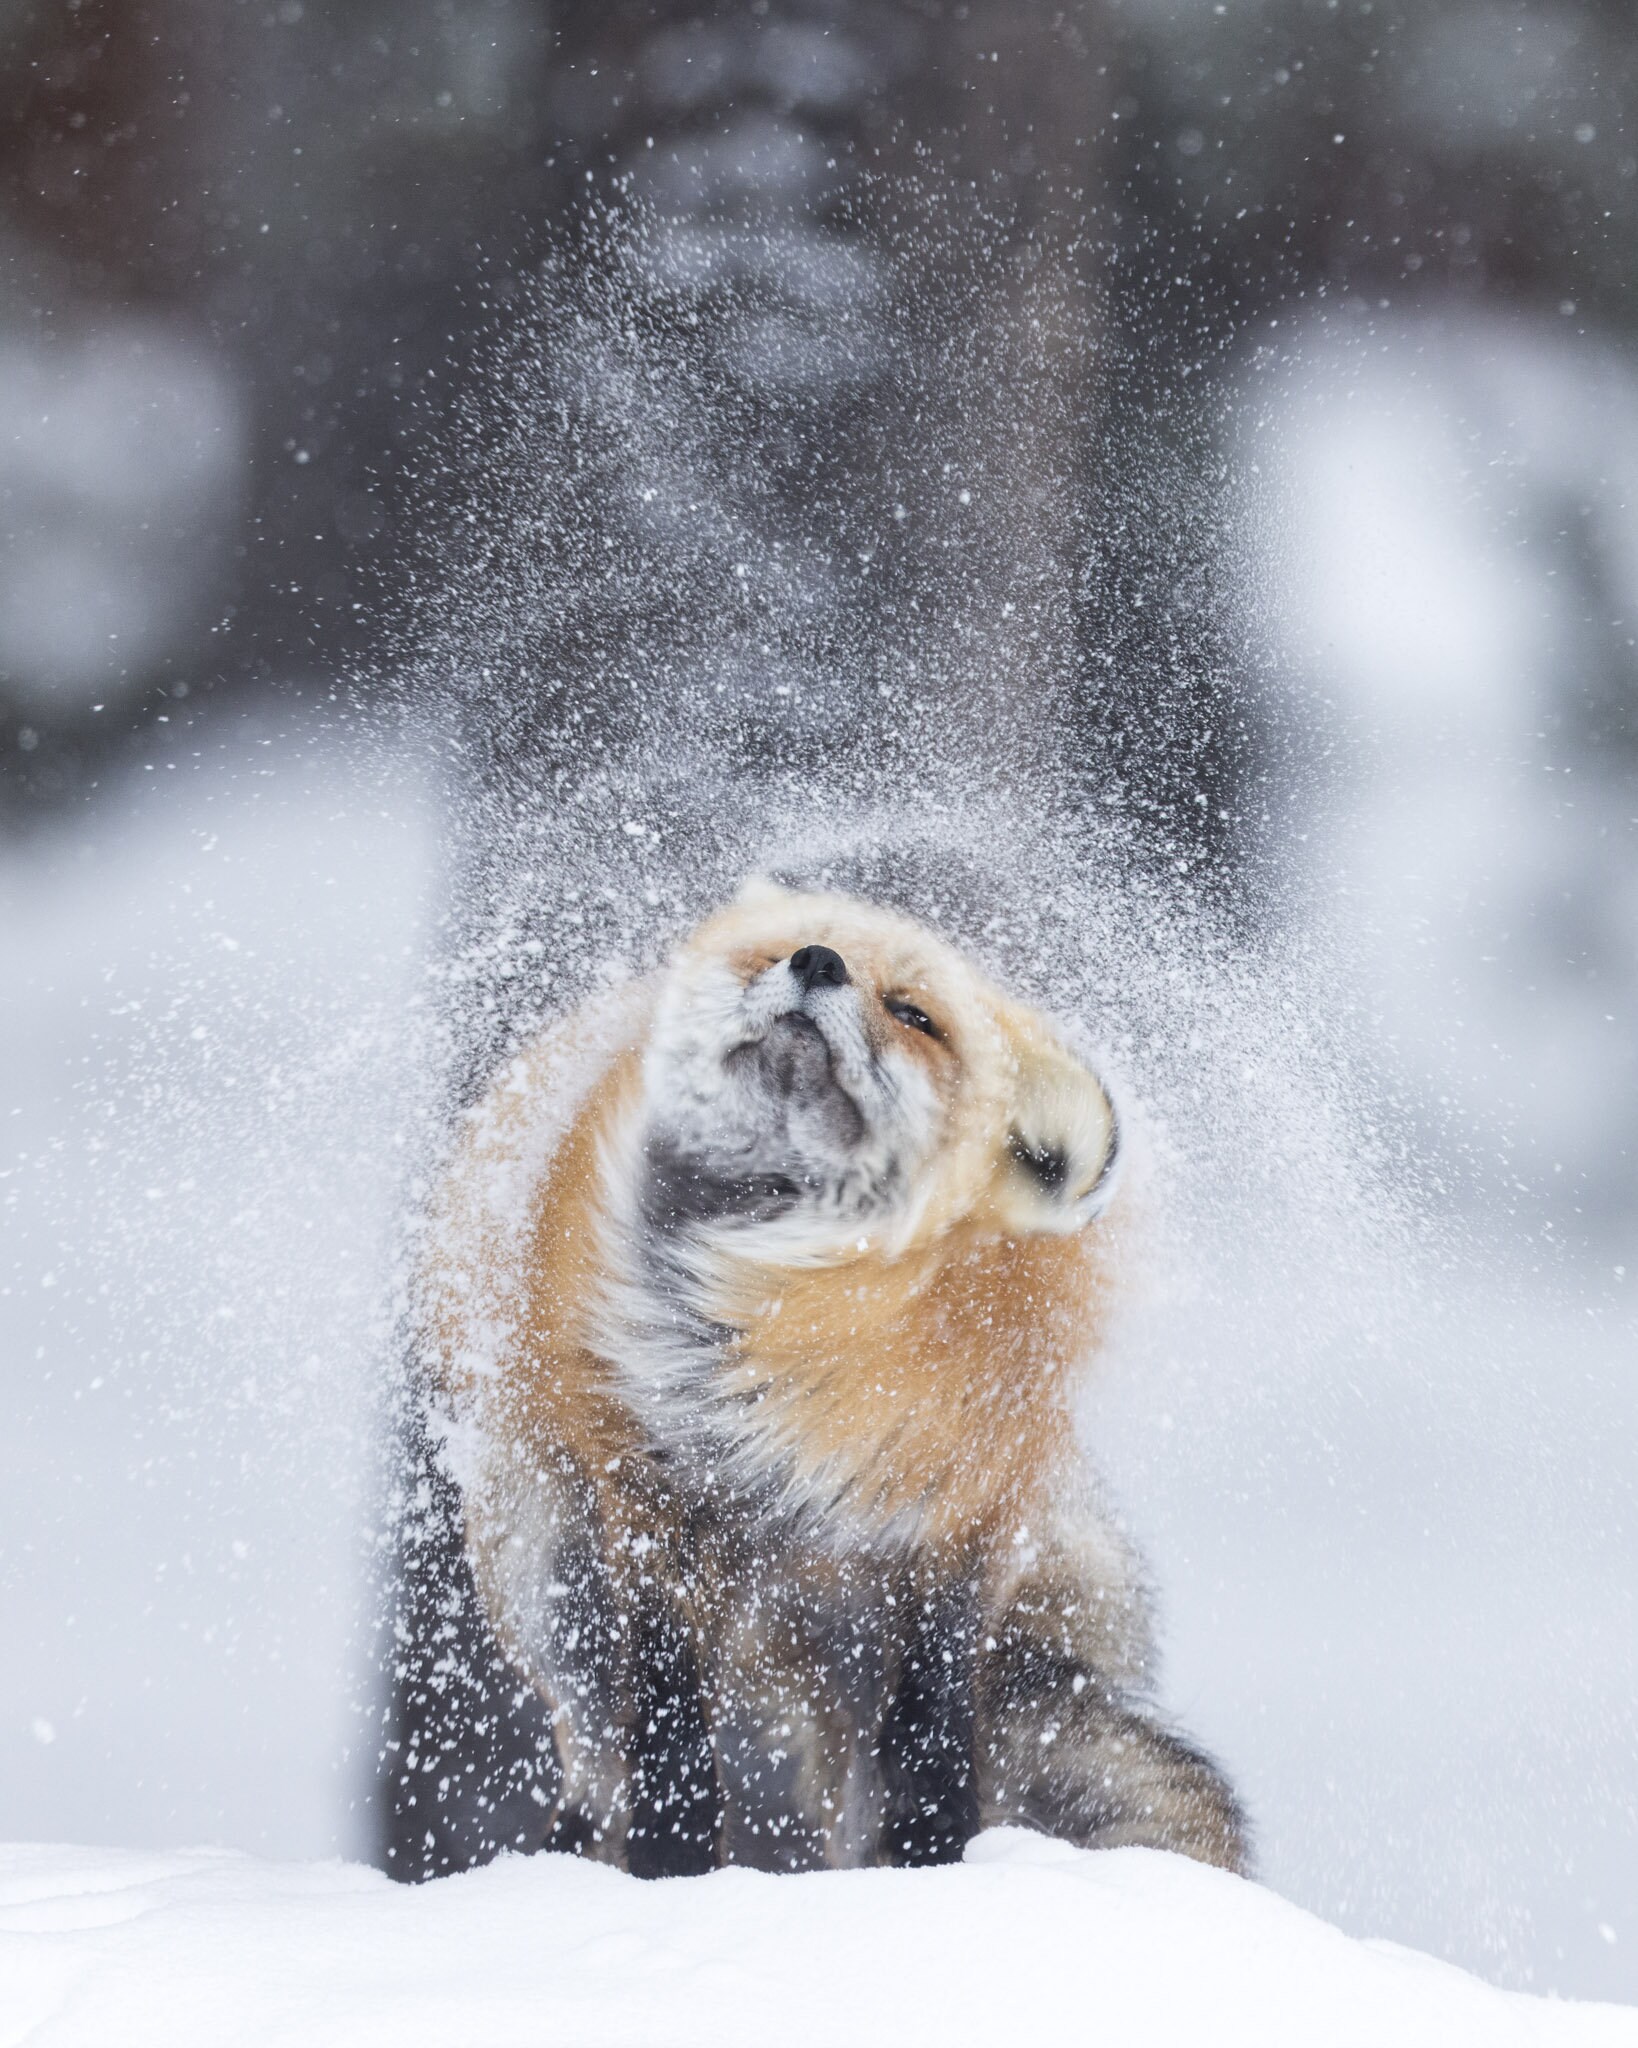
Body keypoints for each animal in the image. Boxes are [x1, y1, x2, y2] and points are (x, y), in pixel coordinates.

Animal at [418, 878, 1247, 1878]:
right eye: (782, 947)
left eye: (917, 1016)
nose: (816, 961)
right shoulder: (644, 1508)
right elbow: (668, 1729)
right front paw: (671, 1871)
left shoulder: (958, 1527)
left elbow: (931, 1733)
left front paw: (935, 1863)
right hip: (546, 1573)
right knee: (599, 1751)